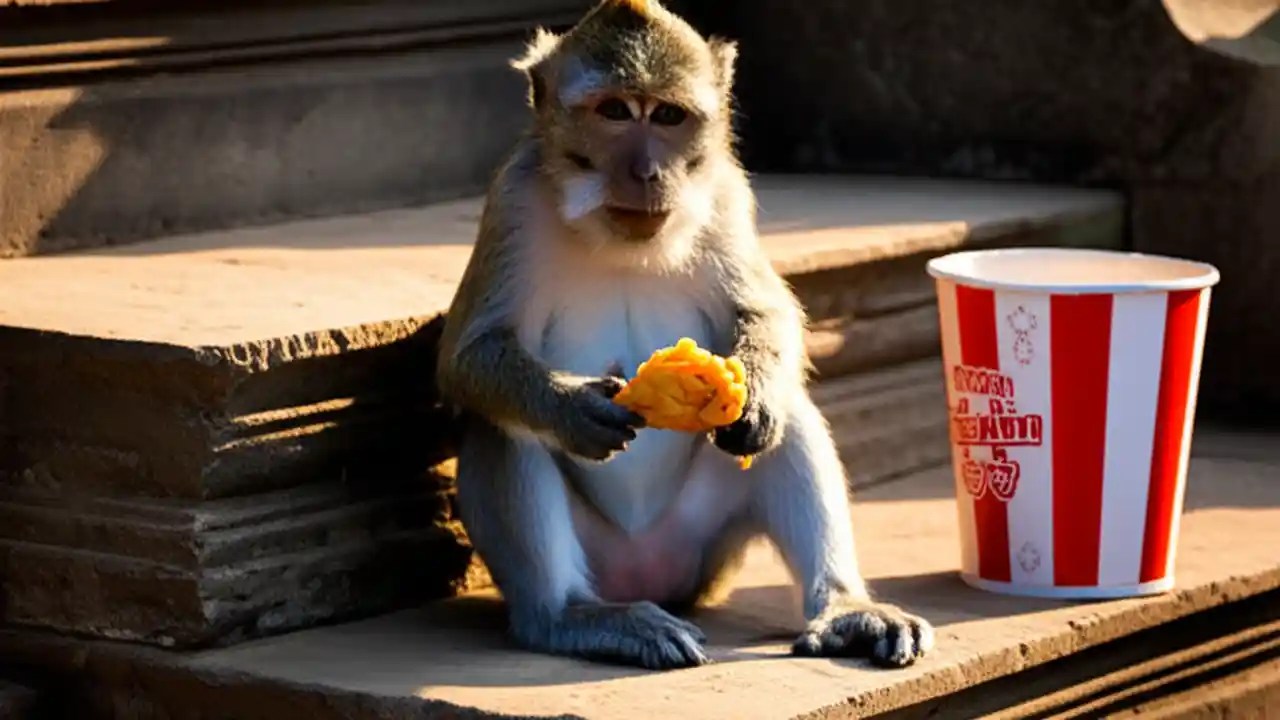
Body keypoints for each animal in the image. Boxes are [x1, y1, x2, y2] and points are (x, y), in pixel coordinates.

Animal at [435, 0, 934, 671]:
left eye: (668, 115)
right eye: (615, 111)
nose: (648, 171)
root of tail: (646, 571)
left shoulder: (726, 193)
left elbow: (765, 312)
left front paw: (757, 395)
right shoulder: (512, 200)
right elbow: (468, 355)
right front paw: (571, 408)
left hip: (705, 542)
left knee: (791, 417)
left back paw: (845, 605)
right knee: (505, 427)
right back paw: (574, 617)